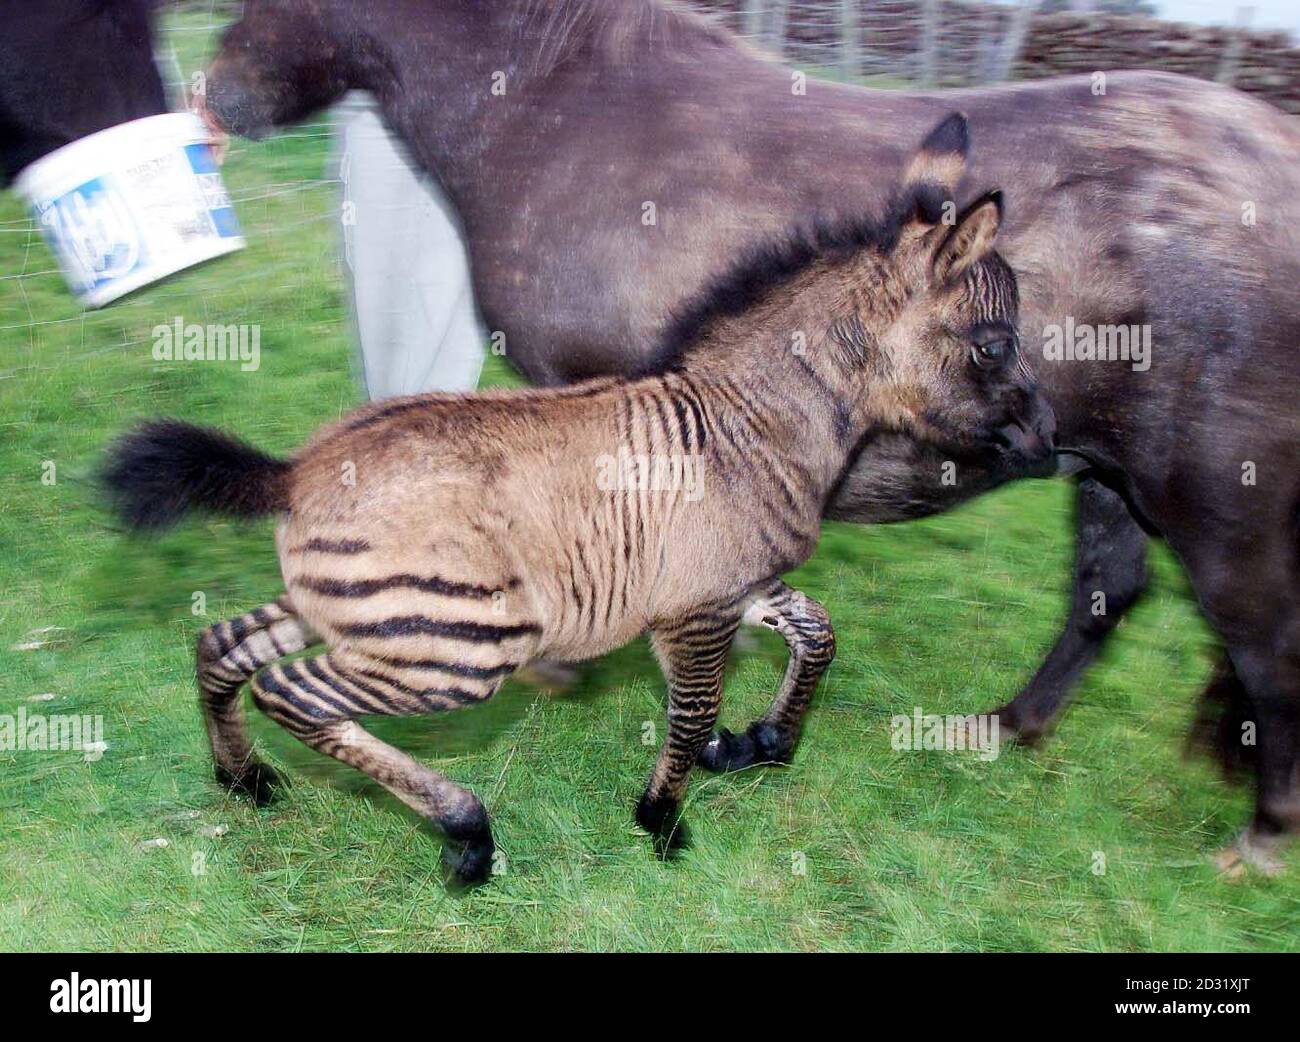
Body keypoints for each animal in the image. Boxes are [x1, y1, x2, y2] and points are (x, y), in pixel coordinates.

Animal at [201, 0, 1300, 871]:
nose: (216, 101)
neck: (553, 100)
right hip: (1110, 472)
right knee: (1108, 593)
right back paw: (1004, 727)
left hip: (1215, 494)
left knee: (1262, 643)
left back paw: (1259, 837)